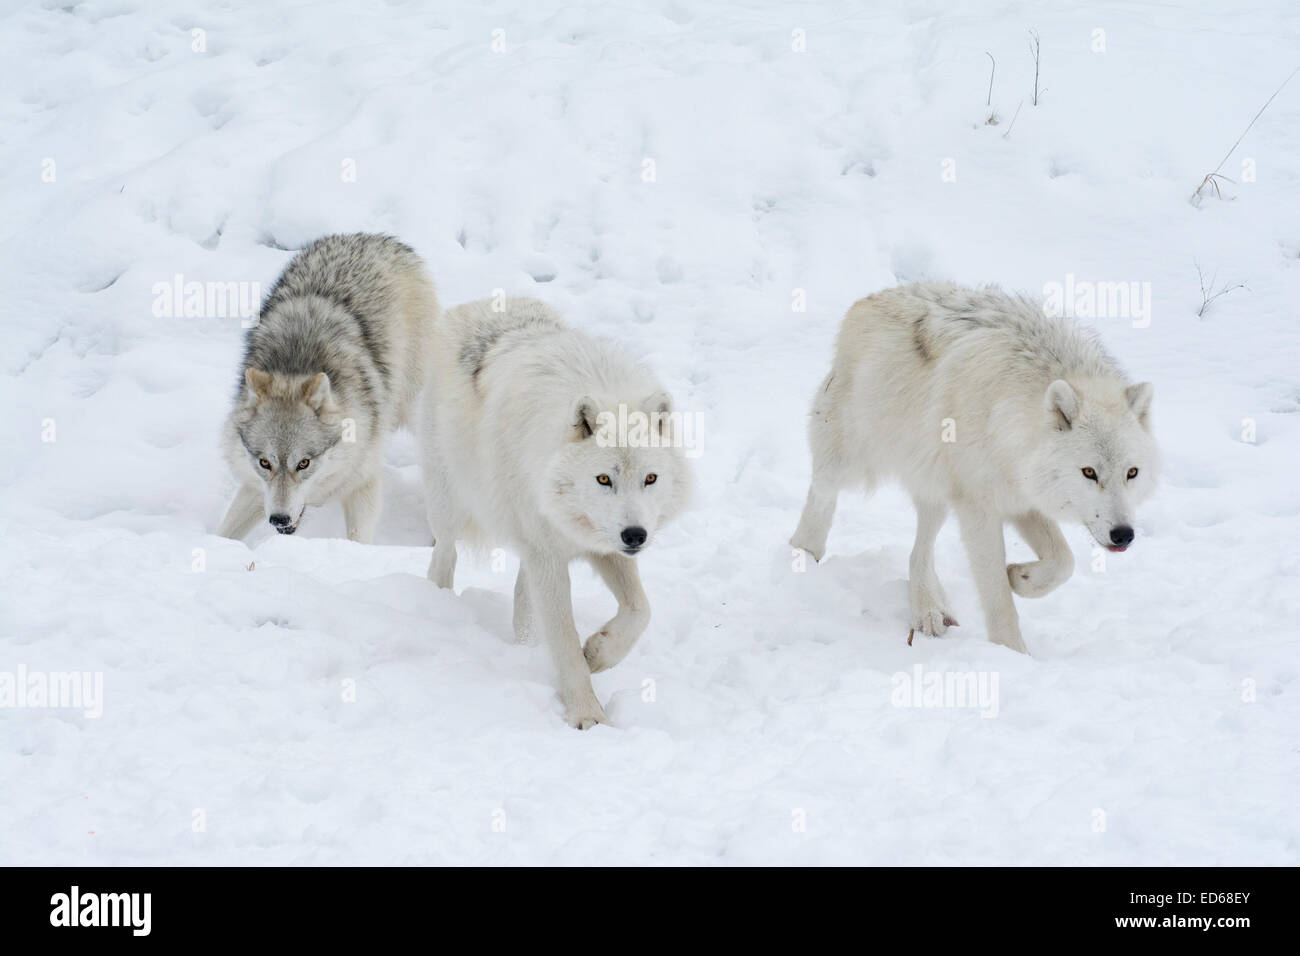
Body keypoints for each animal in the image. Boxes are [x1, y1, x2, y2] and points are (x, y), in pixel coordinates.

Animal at [217, 233, 439, 542]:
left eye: (304, 463)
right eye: (264, 463)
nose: (278, 519)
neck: (295, 364)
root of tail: (377, 238)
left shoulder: (362, 484)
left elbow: (358, 541)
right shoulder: (255, 488)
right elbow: (223, 533)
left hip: (417, 408)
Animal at [420, 297, 692, 728]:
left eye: (650, 478)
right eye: (603, 479)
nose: (636, 536)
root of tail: (478, 305)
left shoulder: (603, 547)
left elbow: (640, 610)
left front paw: (597, 654)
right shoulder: (549, 553)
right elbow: (564, 639)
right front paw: (587, 714)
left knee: (522, 595)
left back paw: (526, 645)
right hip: (450, 504)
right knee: (443, 557)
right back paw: (440, 604)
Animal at [790, 282, 1159, 653]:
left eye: (1132, 473)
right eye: (1089, 472)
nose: (1124, 534)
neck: (1009, 418)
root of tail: (872, 297)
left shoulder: (1022, 499)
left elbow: (1063, 562)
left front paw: (1019, 577)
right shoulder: (978, 507)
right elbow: (997, 595)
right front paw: (1012, 654)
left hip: (935, 487)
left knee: (919, 553)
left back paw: (929, 611)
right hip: (848, 461)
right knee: (820, 493)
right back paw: (804, 555)